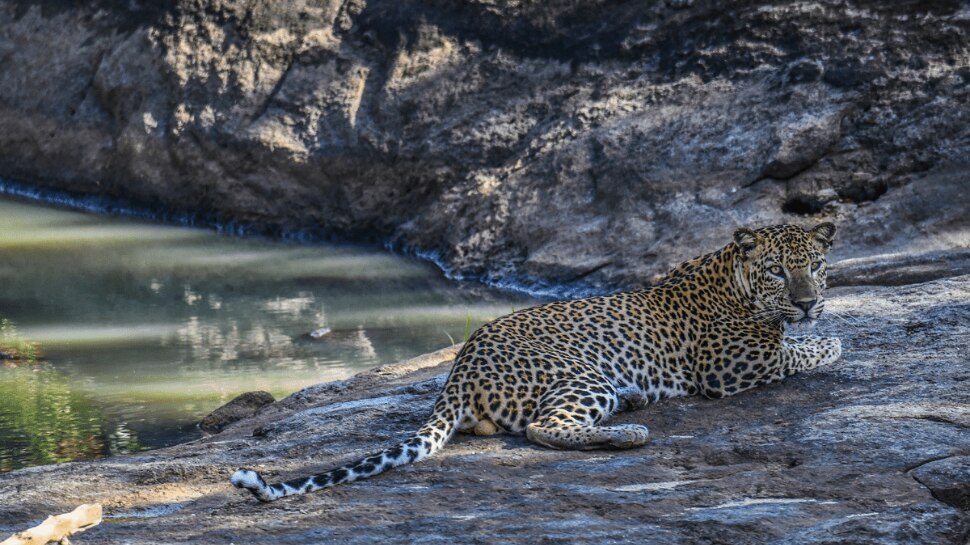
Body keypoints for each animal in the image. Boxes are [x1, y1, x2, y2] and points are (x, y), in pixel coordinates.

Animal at [232, 222, 842, 502]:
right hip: (582, 375)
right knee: (543, 430)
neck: (732, 276)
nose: (807, 301)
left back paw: (633, 403)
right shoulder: (734, 364)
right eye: (777, 271)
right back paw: (627, 433)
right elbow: (808, 348)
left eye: (814, 265)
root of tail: (459, 368)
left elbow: (803, 341)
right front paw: (828, 338)